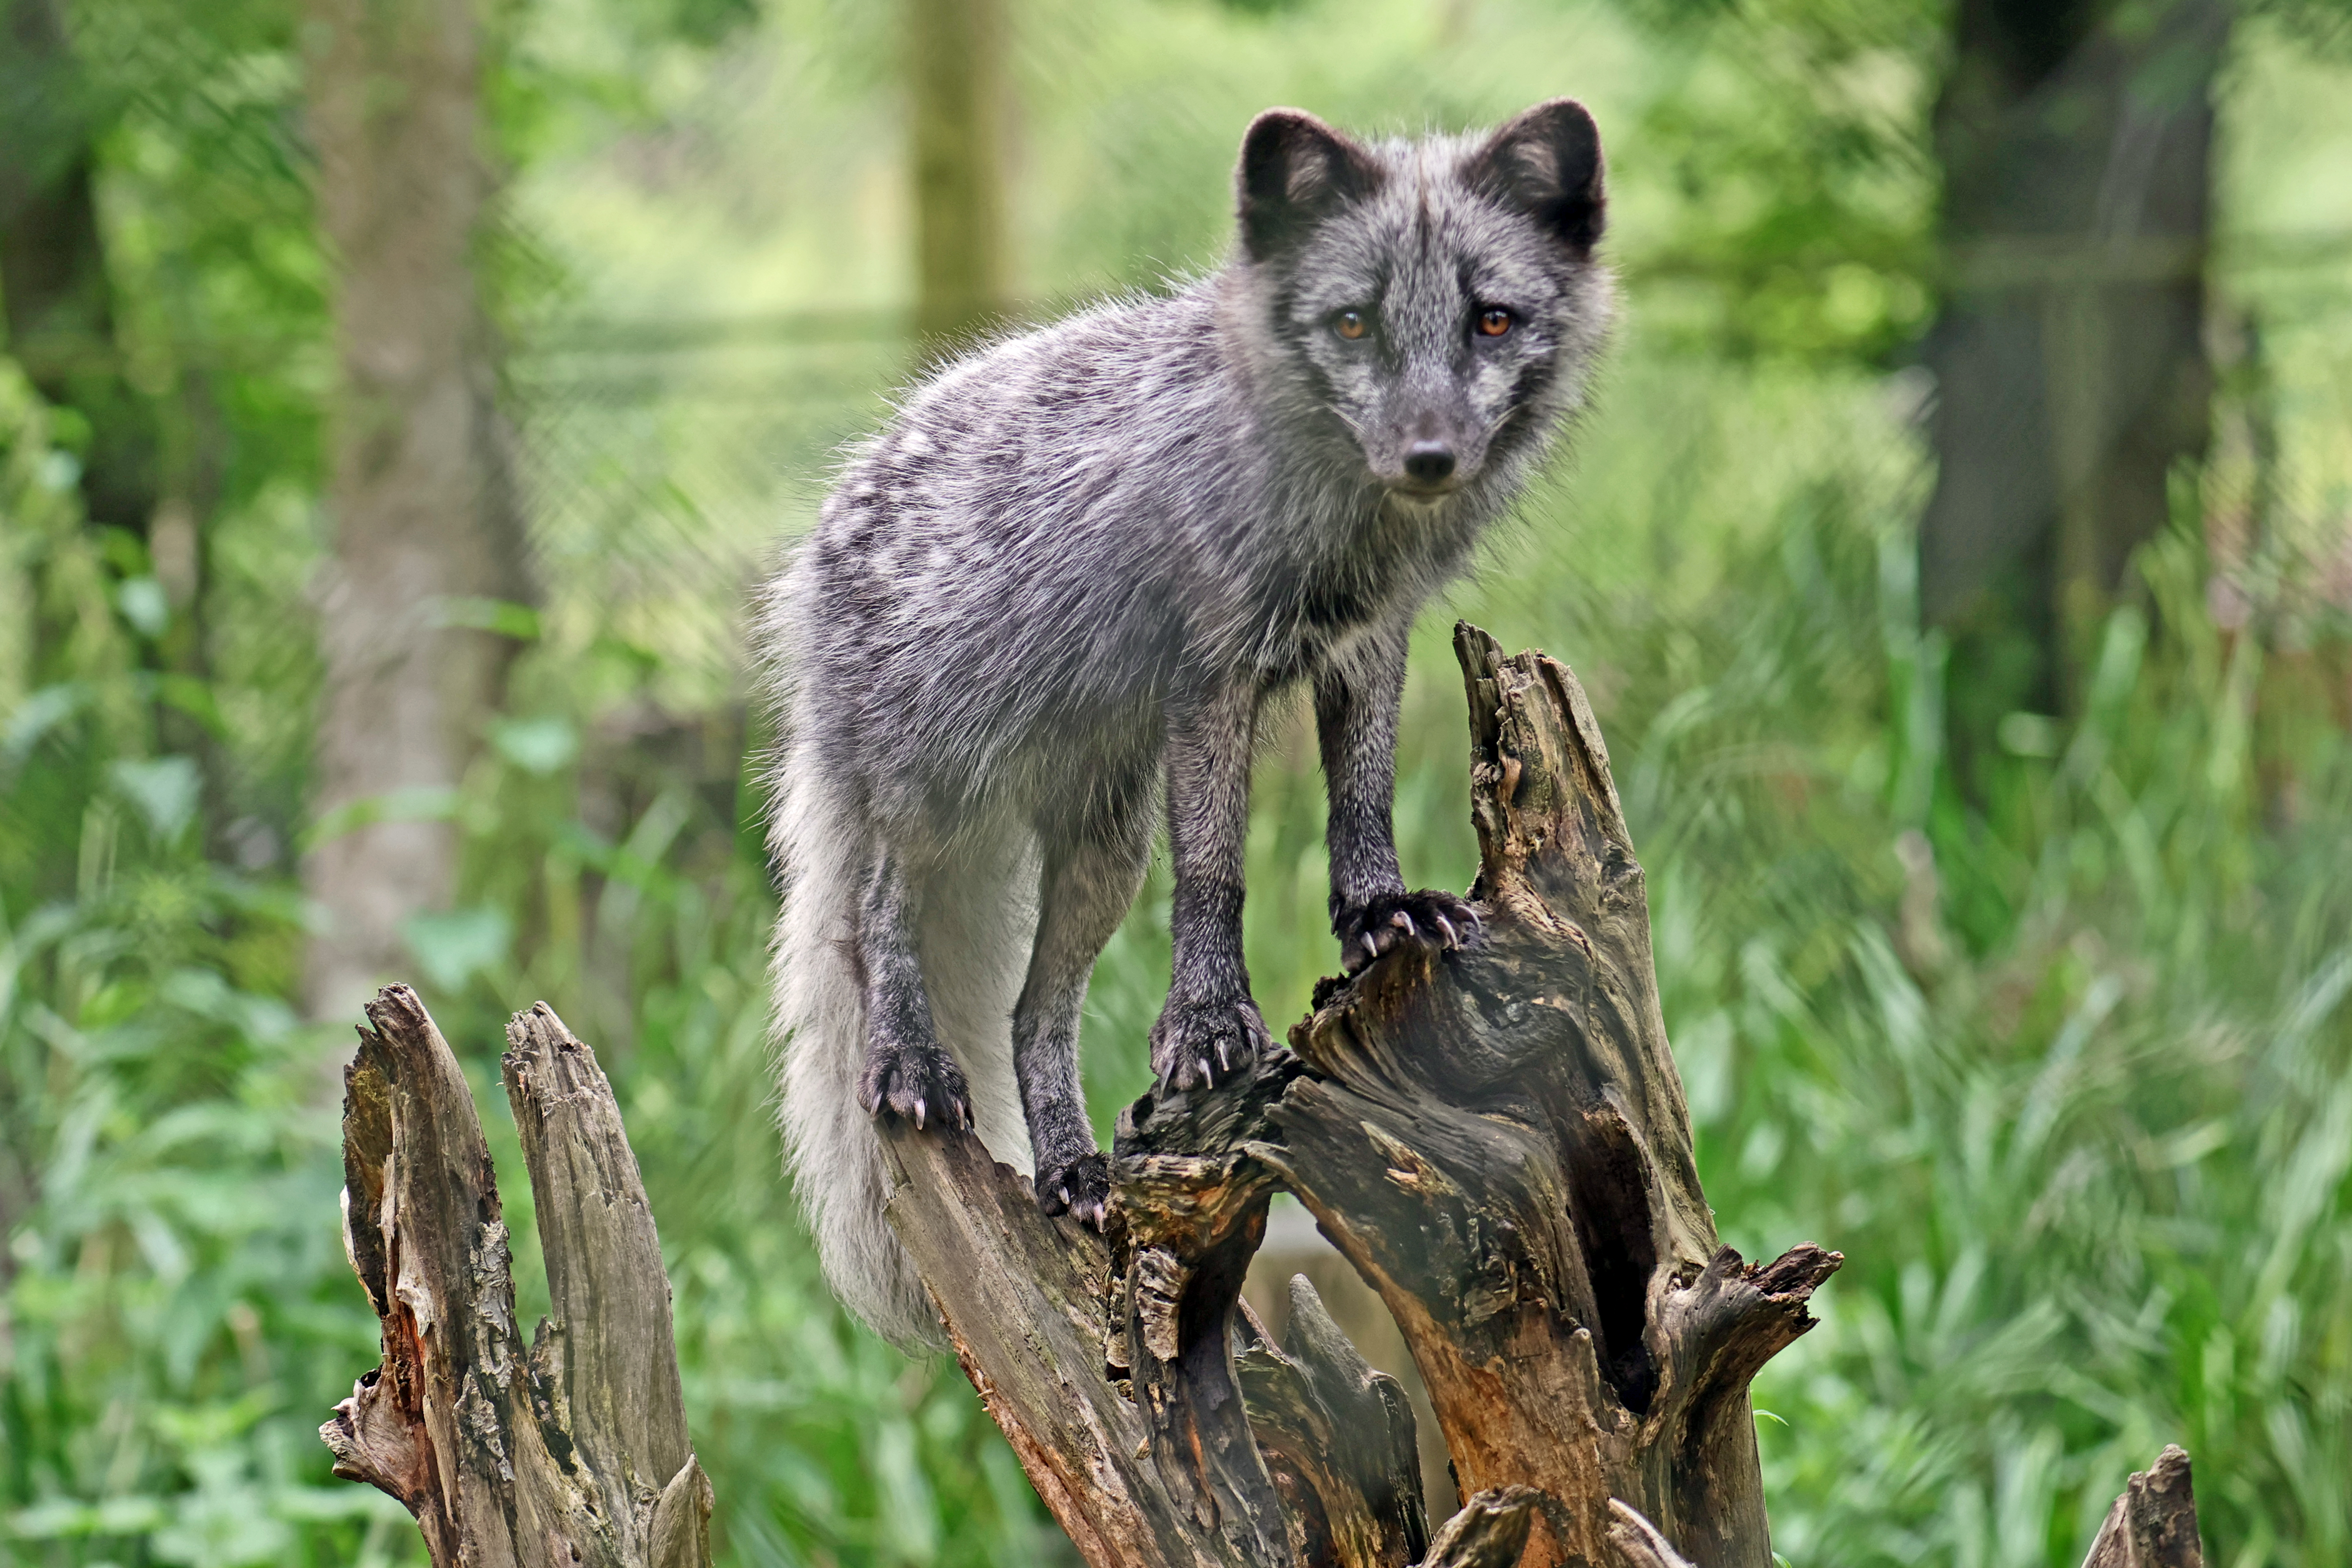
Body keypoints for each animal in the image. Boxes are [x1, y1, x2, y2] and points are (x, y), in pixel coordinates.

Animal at [762, 98, 1614, 1350]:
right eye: (1353, 322)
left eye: (1492, 319)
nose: (1429, 456)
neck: (1331, 518)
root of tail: (829, 517)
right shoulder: (1209, 677)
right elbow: (1216, 870)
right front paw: (1212, 1023)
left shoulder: (1369, 641)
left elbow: (1361, 798)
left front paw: (1380, 915)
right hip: (939, 788)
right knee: (877, 913)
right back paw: (909, 1056)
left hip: (1102, 852)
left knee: (1031, 1016)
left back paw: (1071, 1172)